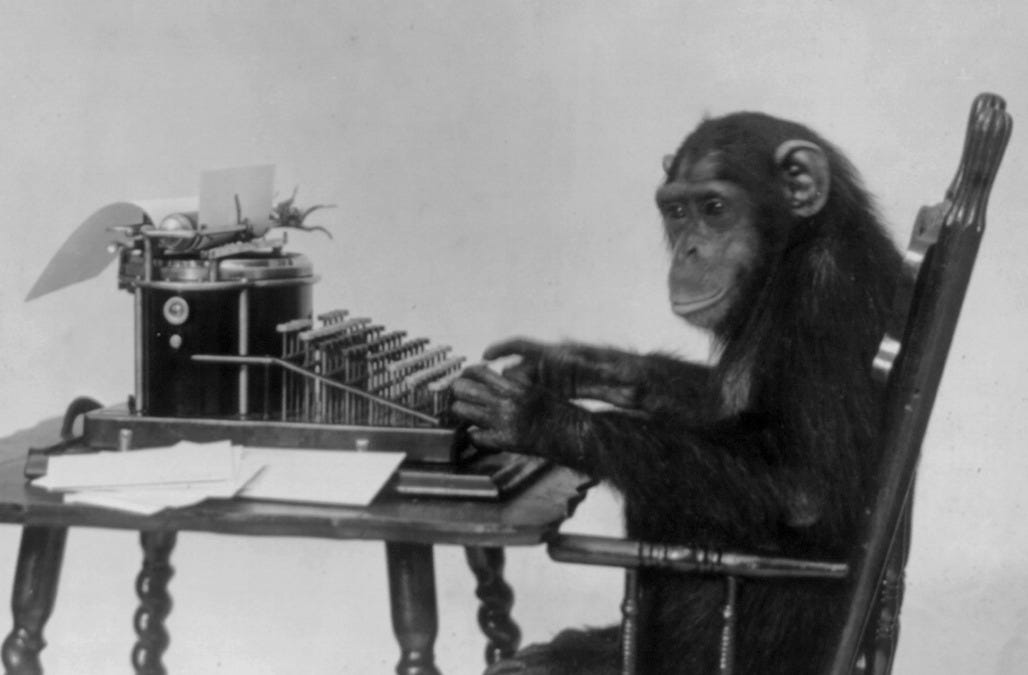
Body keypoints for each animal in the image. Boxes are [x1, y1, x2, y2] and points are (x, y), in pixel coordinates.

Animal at [450, 111, 903, 674]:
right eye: (677, 211)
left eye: (715, 208)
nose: (690, 249)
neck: (794, 250)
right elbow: (717, 403)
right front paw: (558, 364)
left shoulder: (827, 298)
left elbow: (806, 490)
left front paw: (535, 417)